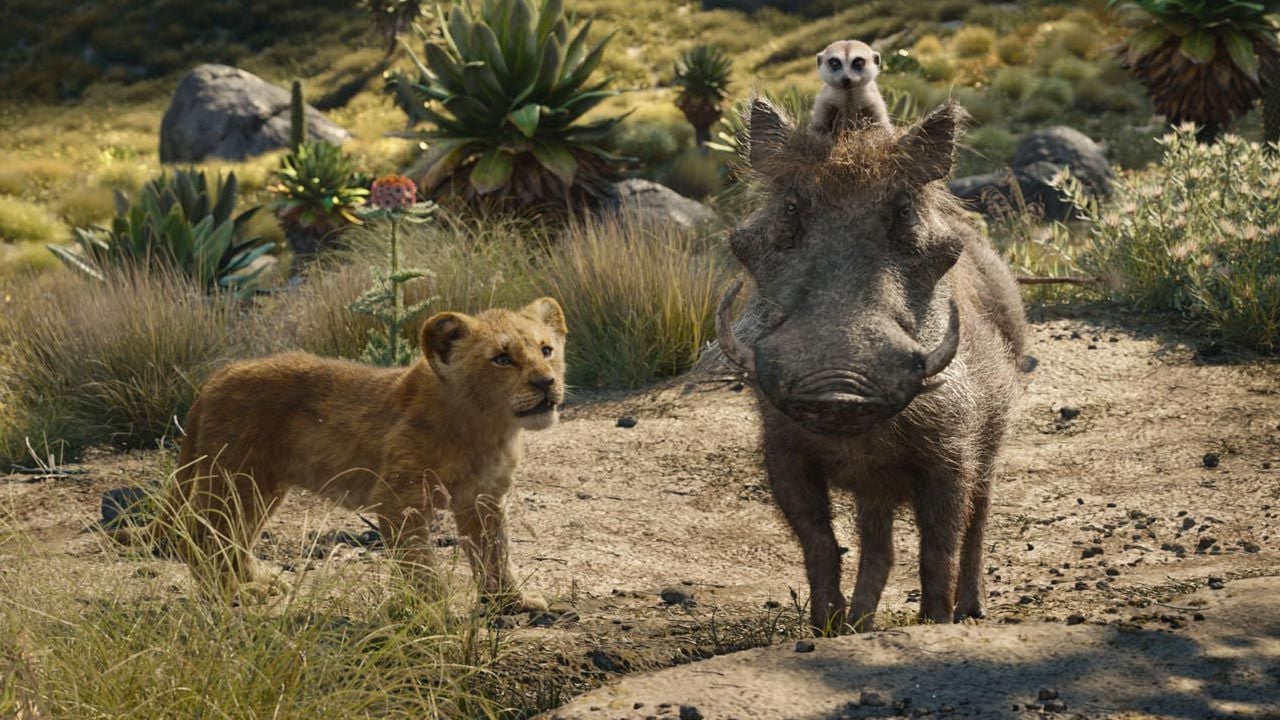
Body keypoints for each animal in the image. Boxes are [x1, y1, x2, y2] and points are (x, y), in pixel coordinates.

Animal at [117, 298, 567, 611]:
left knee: (234, 537)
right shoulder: (399, 499)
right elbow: (420, 563)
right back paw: (235, 593)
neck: (487, 428)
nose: (546, 383)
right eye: (502, 359)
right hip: (234, 479)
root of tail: (216, 378)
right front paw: (433, 612)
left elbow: (495, 553)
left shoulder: (484, 499)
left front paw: (509, 603)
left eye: (546, 350)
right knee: (201, 537)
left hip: (260, 486)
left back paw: (256, 581)